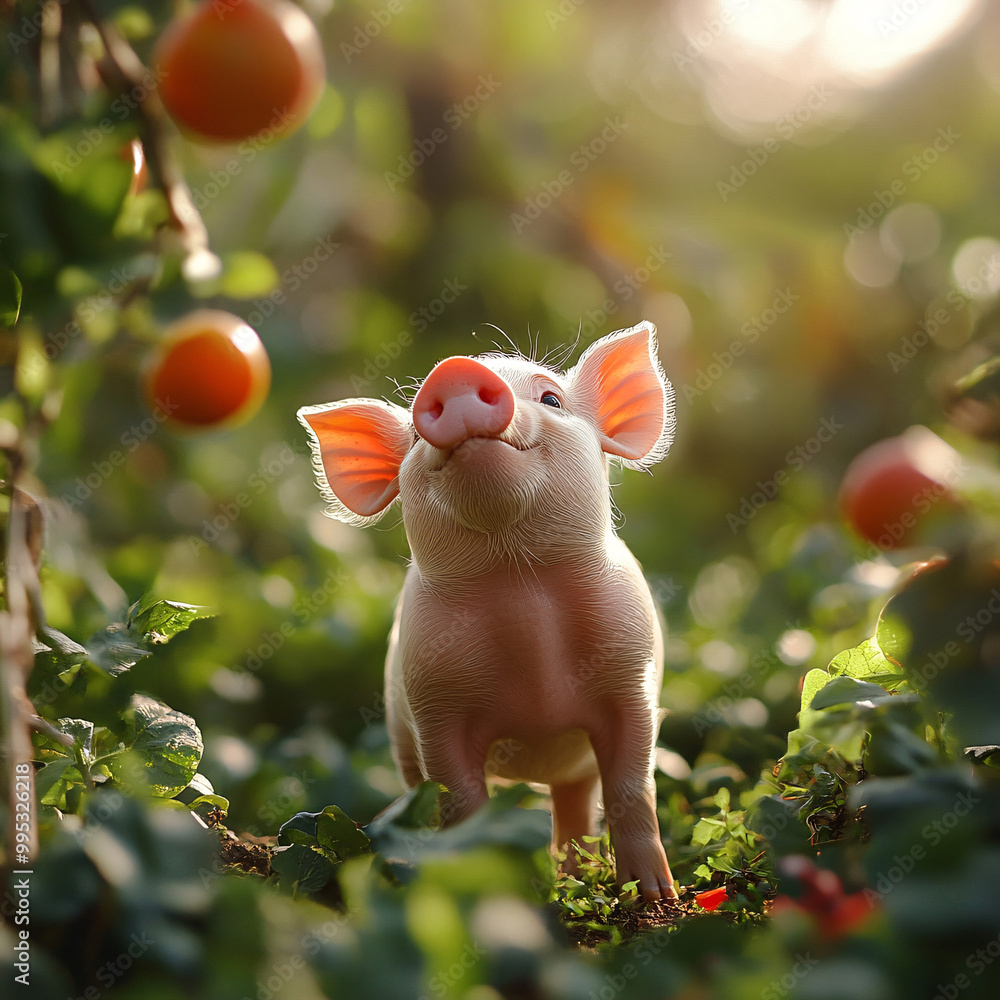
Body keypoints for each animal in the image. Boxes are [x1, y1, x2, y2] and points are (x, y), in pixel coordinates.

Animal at [297, 320, 677, 900]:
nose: (454, 370)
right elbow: (460, 801)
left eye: (551, 398)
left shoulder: (631, 678)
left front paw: (654, 897)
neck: (523, 594)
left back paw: (579, 877)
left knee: (575, 800)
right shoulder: (433, 703)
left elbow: (633, 784)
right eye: (413, 438)